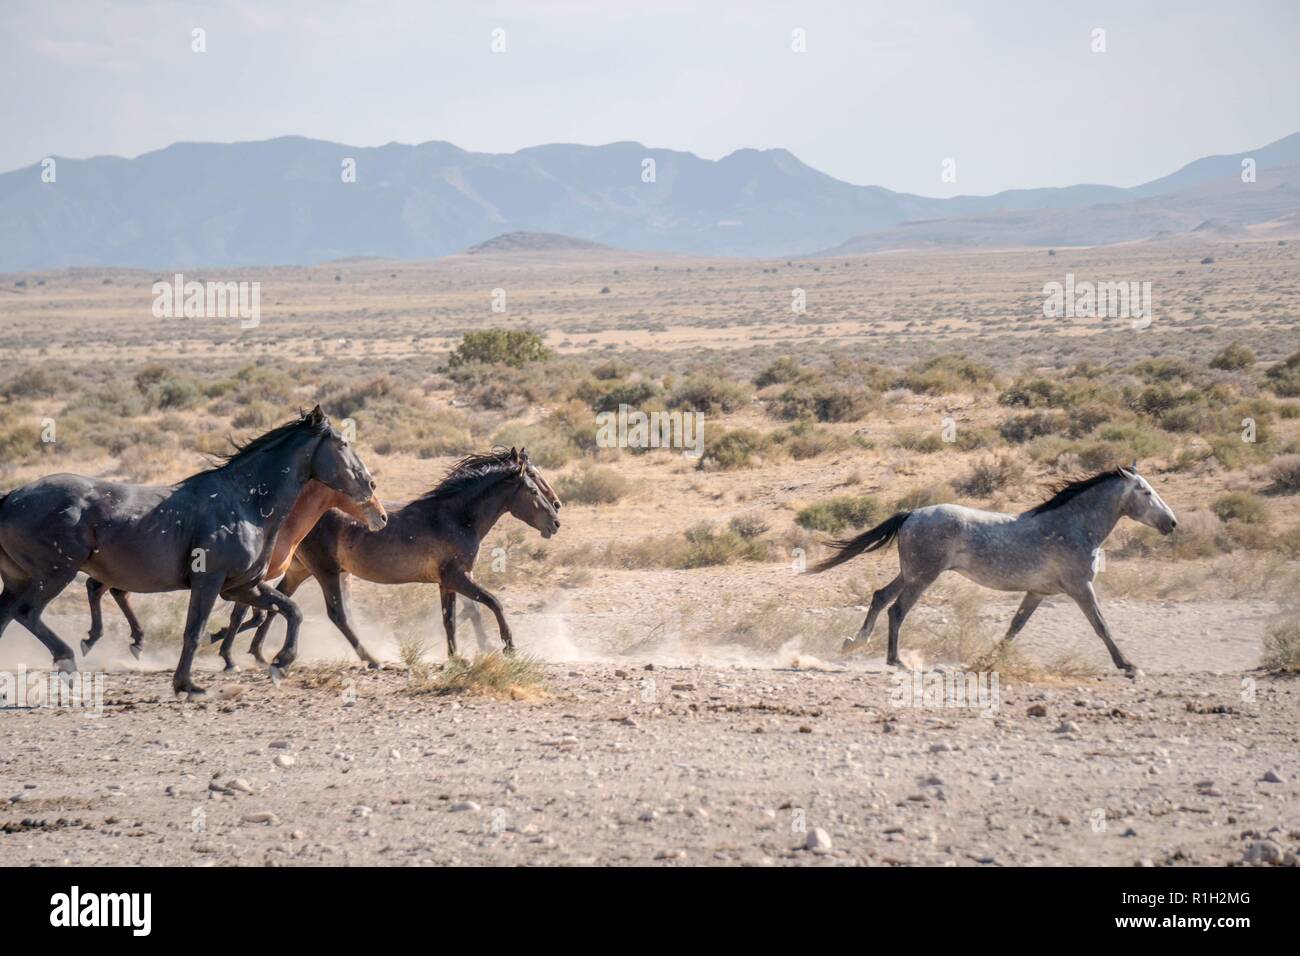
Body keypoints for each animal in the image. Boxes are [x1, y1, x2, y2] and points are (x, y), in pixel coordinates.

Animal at [80, 479, 372, 660]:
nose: (378, 515)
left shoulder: (250, 581)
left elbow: (257, 614)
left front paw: (222, 641)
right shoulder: (247, 580)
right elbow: (246, 615)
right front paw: (227, 651)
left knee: (108, 589)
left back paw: (129, 640)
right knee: (102, 588)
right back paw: (111, 639)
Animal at [211, 447, 560, 670]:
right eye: (532, 489)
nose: (555, 519)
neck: (456, 516)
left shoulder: (446, 582)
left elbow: (450, 618)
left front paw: (456, 657)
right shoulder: (458, 577)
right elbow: (493, 603)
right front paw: (509, 647)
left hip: (301, 569)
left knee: (275, 601)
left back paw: (256, 652)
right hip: (327, 570)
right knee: (333, 613)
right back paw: (368, 659)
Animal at [813, 465, 1177, 676]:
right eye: (1146, 491)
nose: (1171, 523)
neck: (1074, 525)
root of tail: (912, 513)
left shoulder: (1037, 592)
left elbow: (1014, 628)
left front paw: (985, 662)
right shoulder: (1080, 588)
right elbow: (1101, 626)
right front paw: (1128, 665)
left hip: (910, 572)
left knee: (880, 597)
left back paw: (853, 642)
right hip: (923, 576)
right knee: (897, 610)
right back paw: (896, 661)